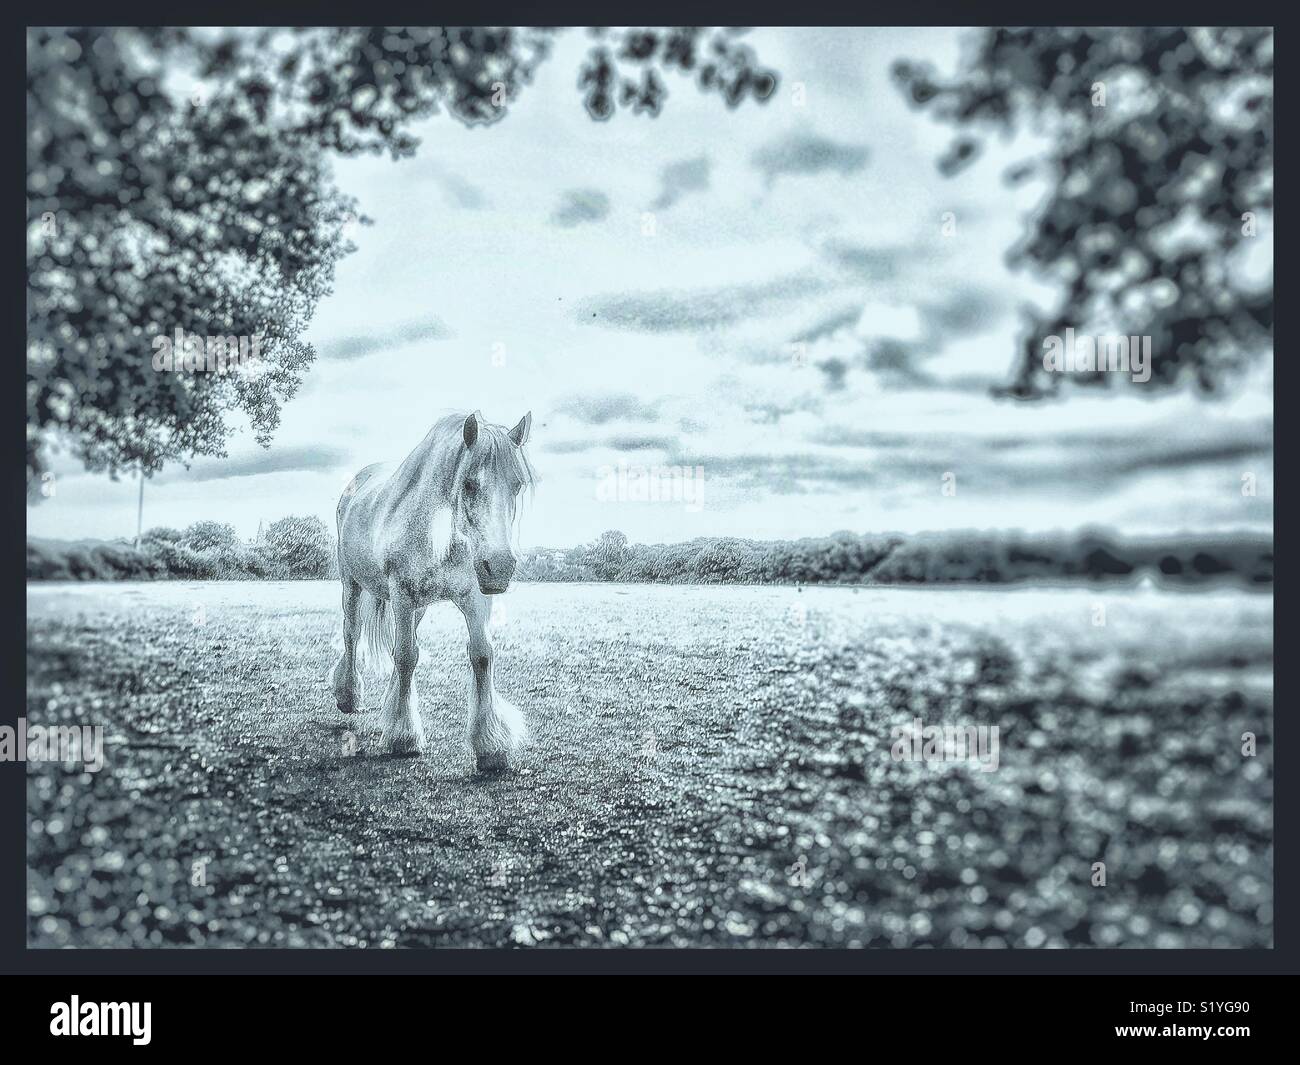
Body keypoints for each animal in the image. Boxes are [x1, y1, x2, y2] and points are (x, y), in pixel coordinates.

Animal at [330, 410, 535, 769]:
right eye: (469, 483)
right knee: (352, 633)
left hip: (419, 606)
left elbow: (481, 655)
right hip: (352, 585)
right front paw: (404, 737)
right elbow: (405, 655)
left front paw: (491, 745)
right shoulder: (401, 594)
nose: (499, 565)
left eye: (517, 484)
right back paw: (349, 695)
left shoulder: (474, 598)